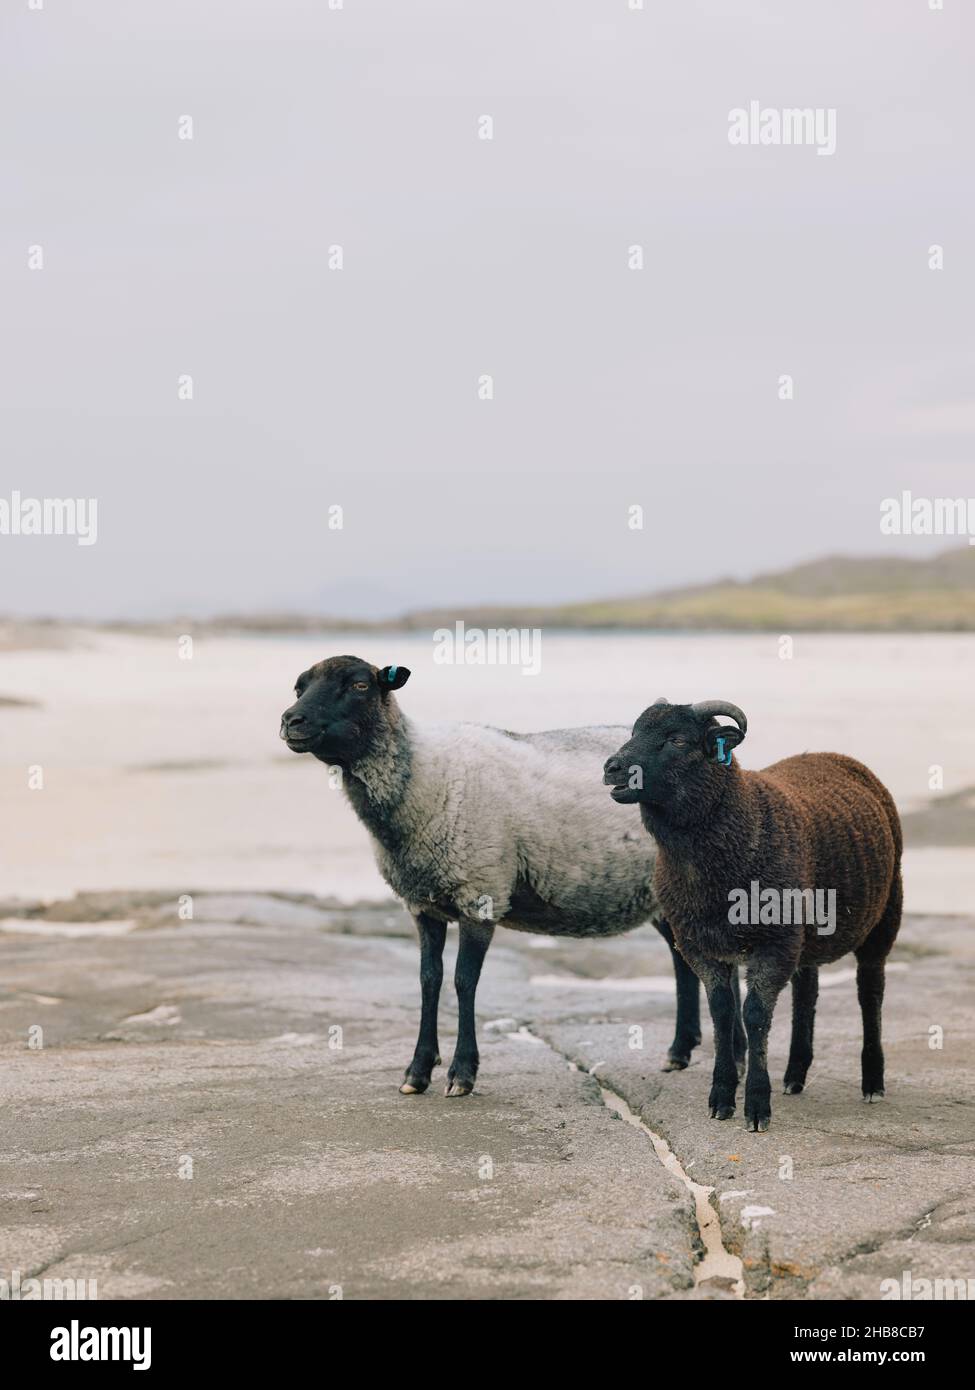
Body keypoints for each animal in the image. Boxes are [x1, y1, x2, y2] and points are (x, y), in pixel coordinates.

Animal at [279, 654, 706, 1094]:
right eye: (299, 687)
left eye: (360, 686)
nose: (291, 720)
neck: (424, 776)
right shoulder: (422, 906)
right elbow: (429, 979)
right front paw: (417, 1071)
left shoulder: (480, 892)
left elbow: (464, 982)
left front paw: (462, 1073)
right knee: (681, 956)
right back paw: (679, 1052)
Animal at [603, 698, 902, 1131]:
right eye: (634, 732)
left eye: (678, 740)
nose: (611, 767)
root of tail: (833, 755)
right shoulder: (703, 946)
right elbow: (723, 1013)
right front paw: (721, 1097)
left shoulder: (774, 943)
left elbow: (755, 1015)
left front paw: (757, 1105)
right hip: (805, 936)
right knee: (806, 993)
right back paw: (795, 1075)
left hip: (884, 916)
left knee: (870, 993)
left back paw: (872, 1082)